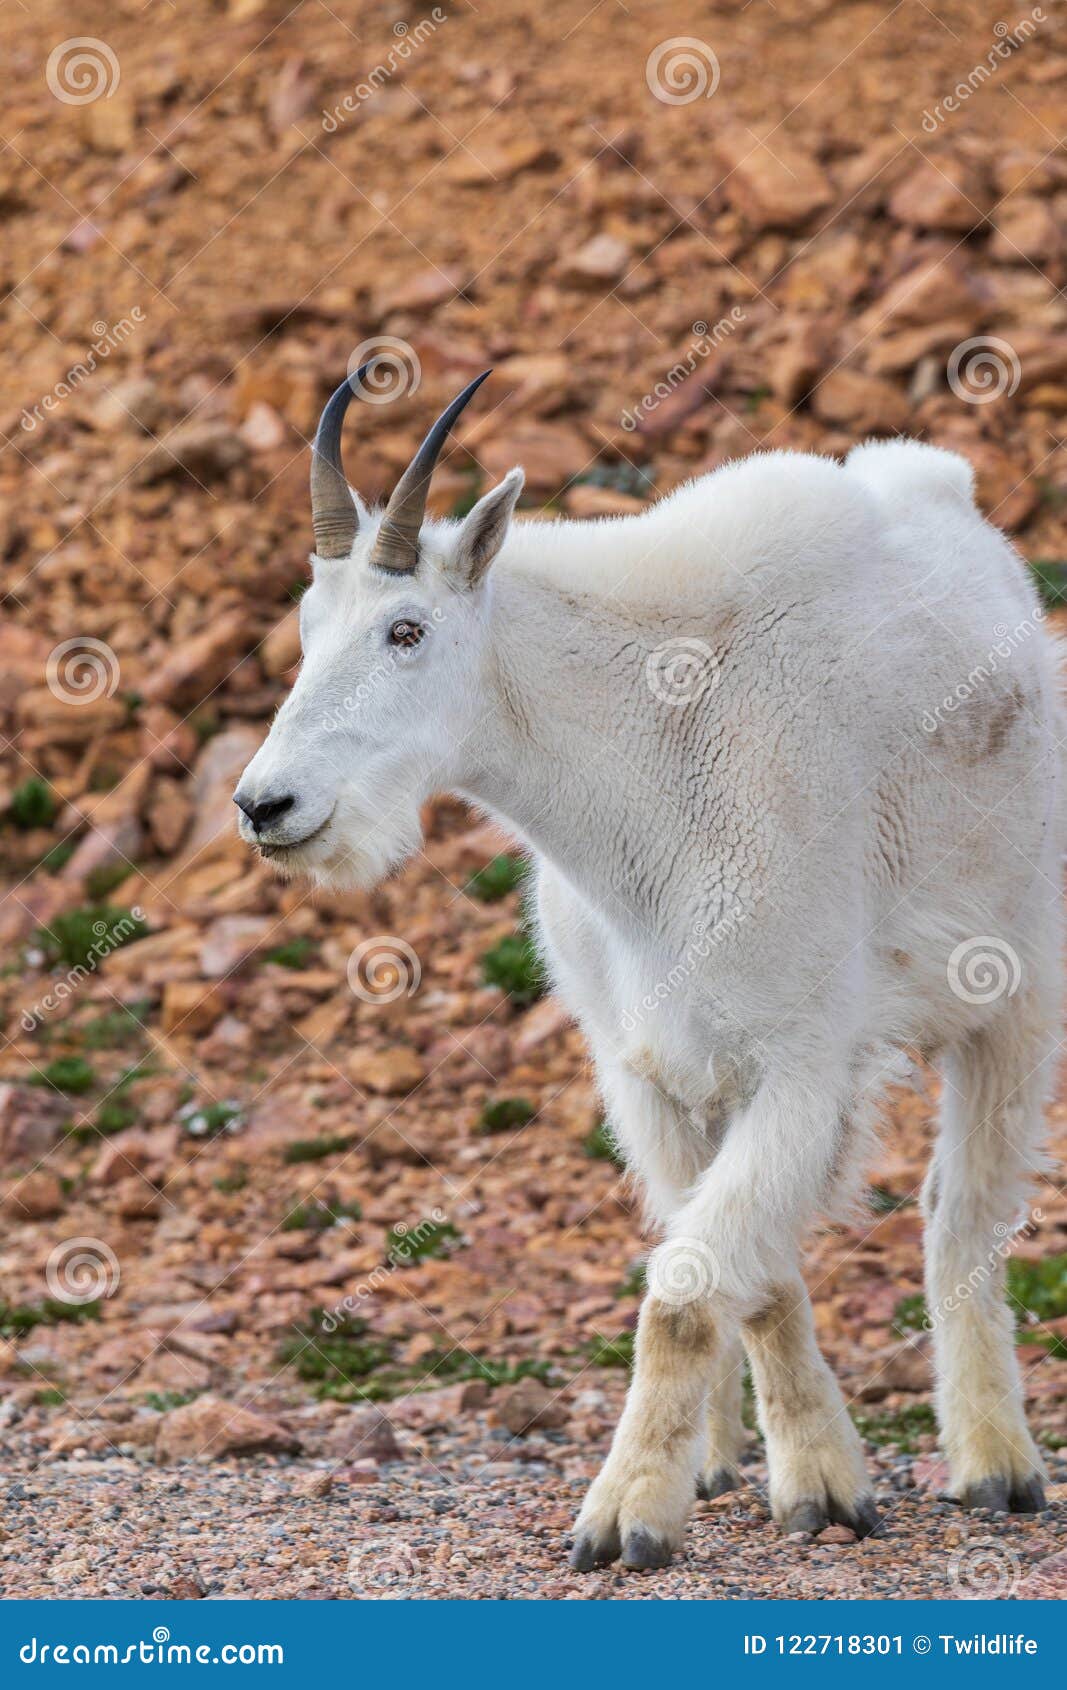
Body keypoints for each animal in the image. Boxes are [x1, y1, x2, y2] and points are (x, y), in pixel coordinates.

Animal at [236, 368, 1064, 1569]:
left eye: (406, 629)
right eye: (306, 628)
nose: (267, 805)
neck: (647, 771)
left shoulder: (804, 1061)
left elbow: (683, 1295)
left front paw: (630, 1516)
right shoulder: (644, 1069)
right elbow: (740, 1279)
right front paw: (791, 1478)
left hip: (1014, 989)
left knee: (962, 1213)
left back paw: (994, 1464)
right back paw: (718, 1459)